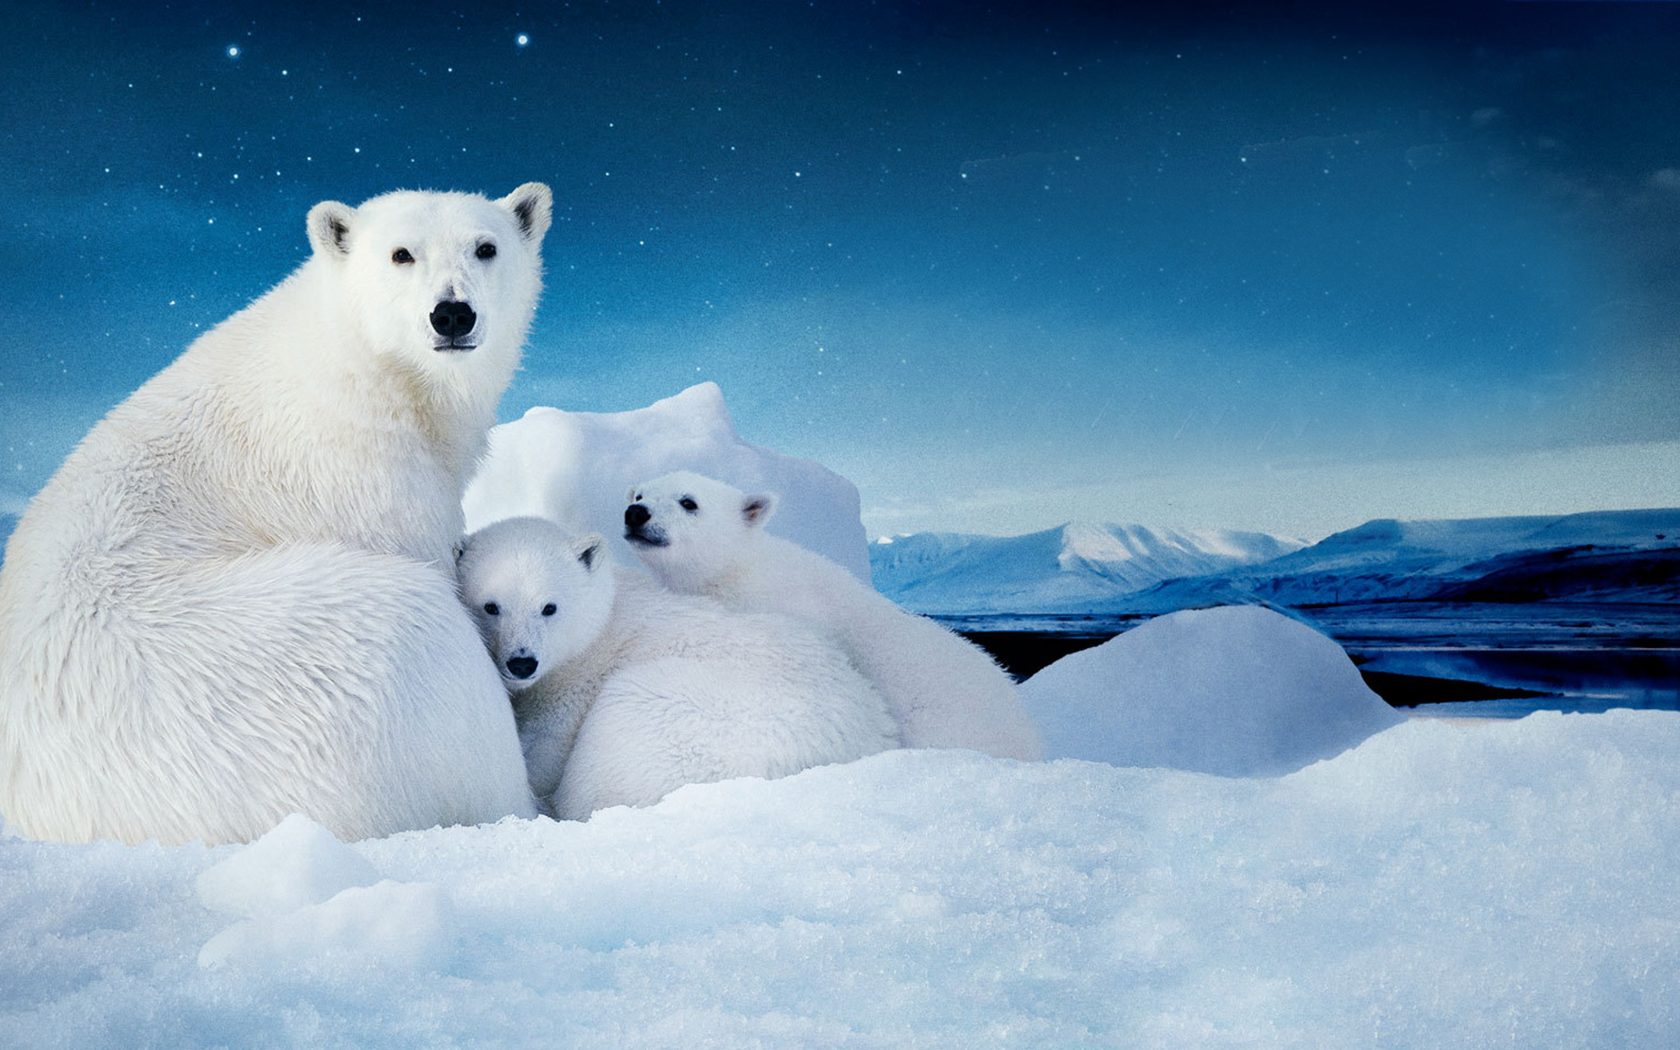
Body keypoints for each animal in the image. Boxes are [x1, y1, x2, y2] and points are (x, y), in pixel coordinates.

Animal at [455, 516, 899, 819]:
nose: (521, 662)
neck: (601, 625)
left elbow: (545, 748)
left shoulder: (577, 685)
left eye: (549, 607)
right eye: (491, 606)